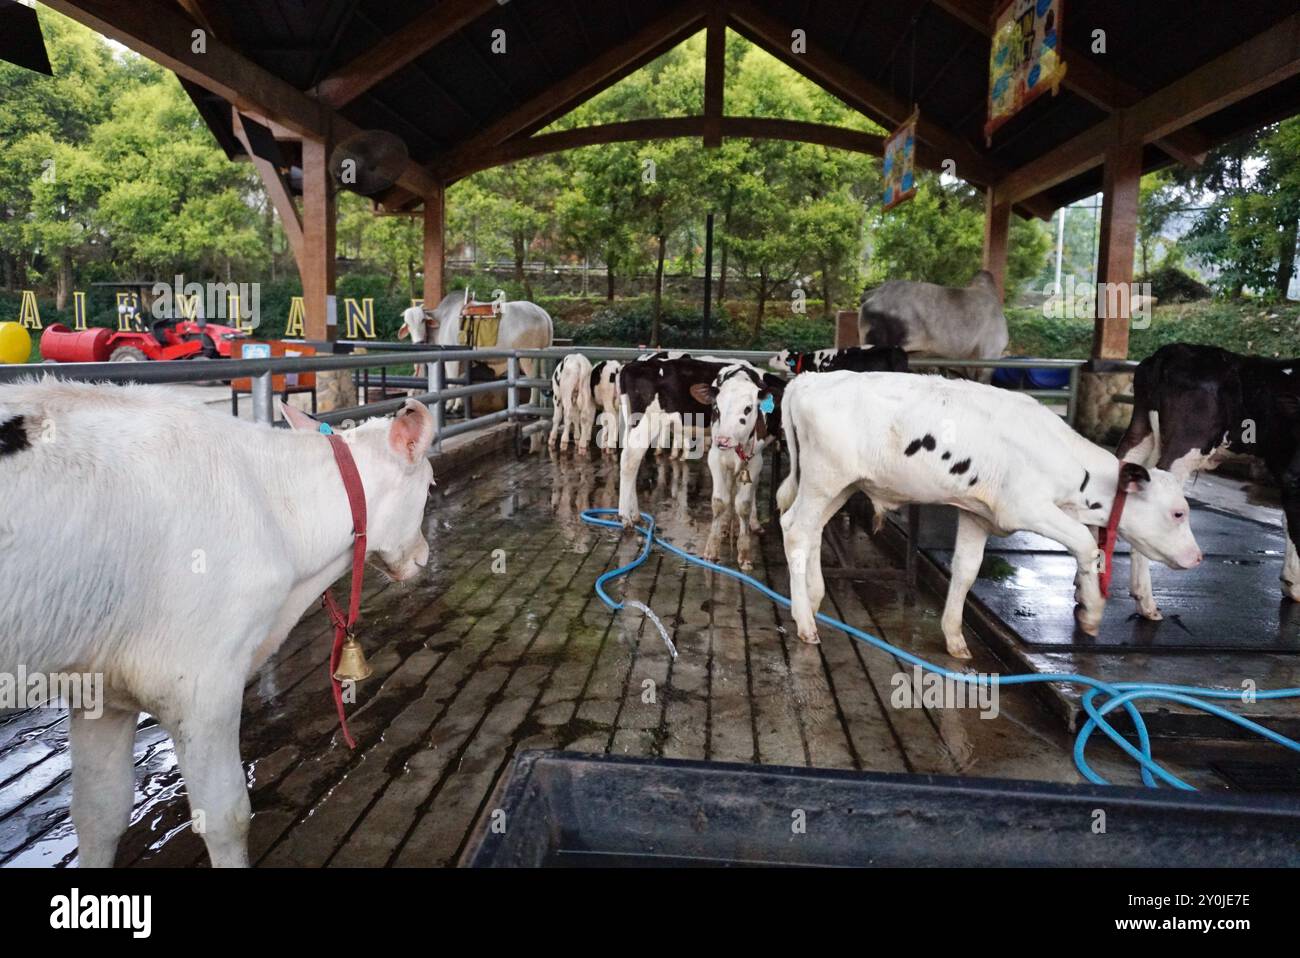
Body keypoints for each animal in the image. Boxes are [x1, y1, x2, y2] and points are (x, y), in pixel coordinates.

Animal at [0, 379, 436, 867]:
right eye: (430, 485)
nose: (423, 556)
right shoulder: (203, 681)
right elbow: (225, 816)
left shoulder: (102, 688)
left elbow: (99, 814)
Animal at [617, 356, 758, 527]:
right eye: (718, 408)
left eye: (747, 408)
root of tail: (634, 365)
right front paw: (752, 521)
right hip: (646, 422)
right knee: (630, 460)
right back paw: (626, 517)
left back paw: (635, 514)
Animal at [690, 364, 786, 570]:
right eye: (716, 408)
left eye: (748, 409)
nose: (723, 440)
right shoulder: (715, 458)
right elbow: (720, 501)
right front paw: (711, 549)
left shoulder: (754, 462)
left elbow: (743, 505)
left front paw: (744, 552)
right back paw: (725, 525)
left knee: (751, 490)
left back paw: (753, 523)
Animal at [777, 372, 1202, 658]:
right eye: (1178, 513)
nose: (1197, 557)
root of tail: (808, 380)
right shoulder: (1025, 507)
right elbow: (1085, 543)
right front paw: (1091, 610)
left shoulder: (979, 515)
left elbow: (966, 570)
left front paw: (954, 638)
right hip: (824, 478)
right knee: (796, 529)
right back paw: (805, 622)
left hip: (841, 485)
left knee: (811, 529)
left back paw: (812, 599)